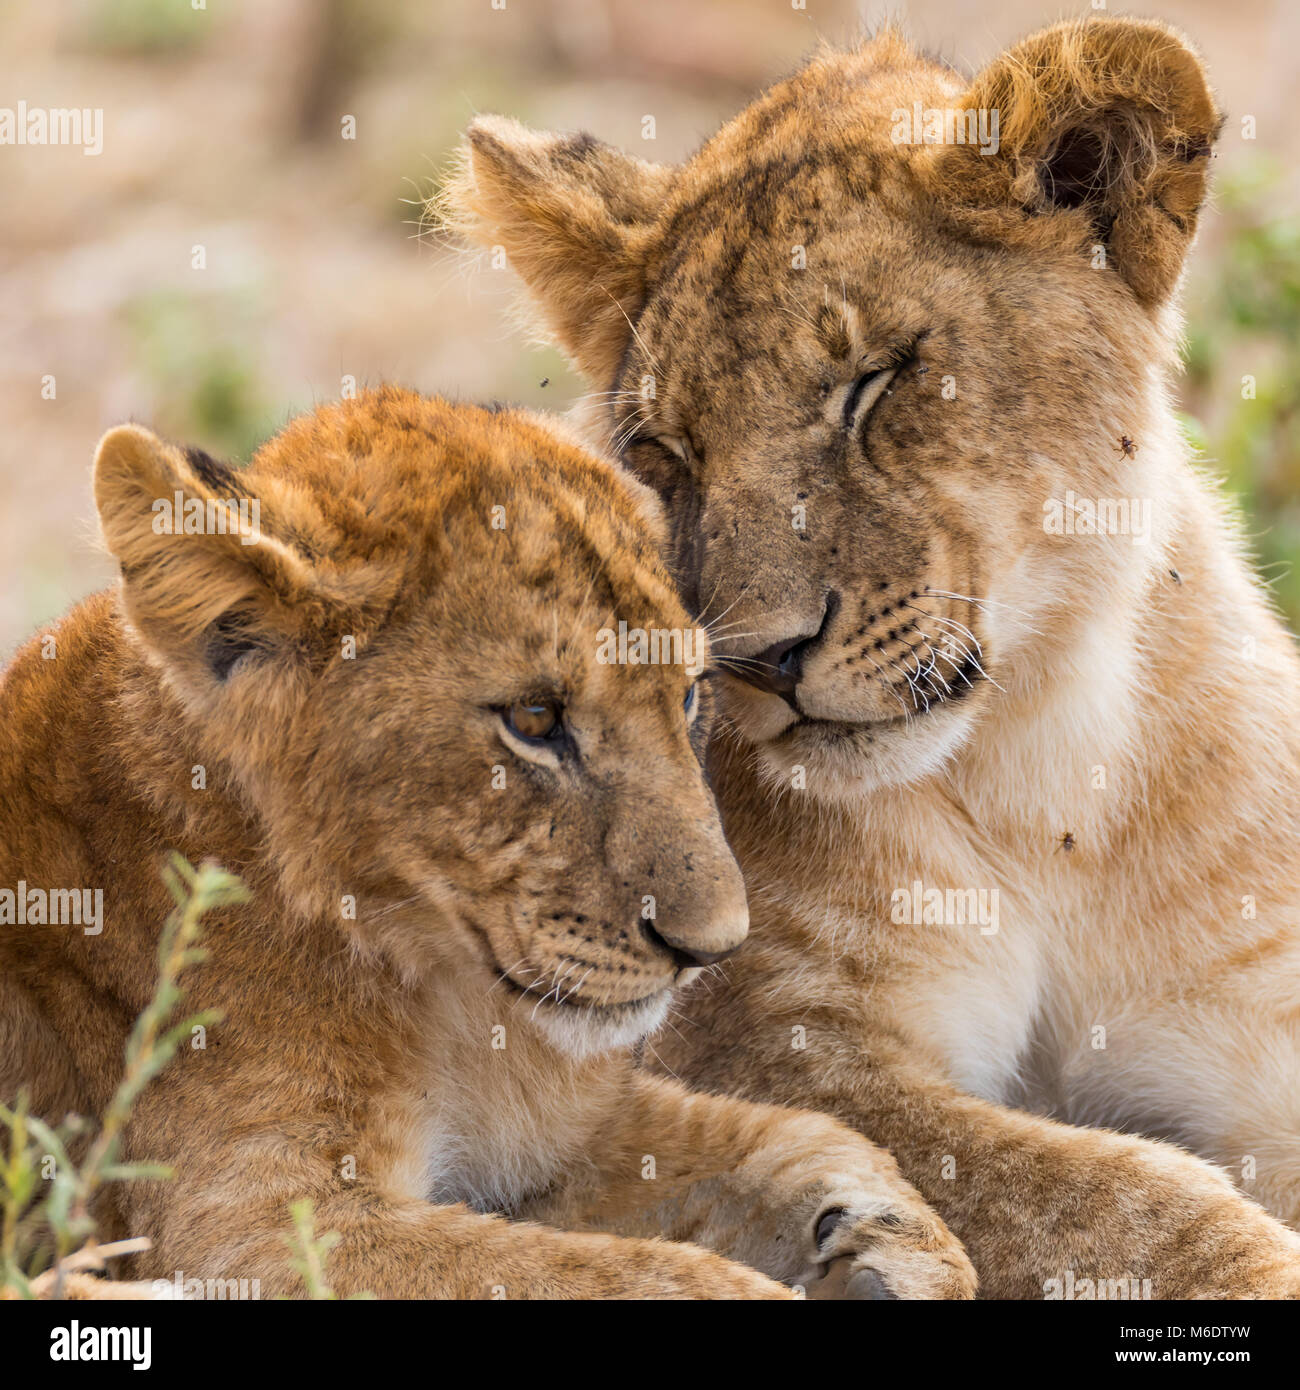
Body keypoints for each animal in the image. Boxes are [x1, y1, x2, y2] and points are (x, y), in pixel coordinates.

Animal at [0, 386, 975, 1299]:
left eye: (691, 694)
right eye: (535, 719)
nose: (714, 949)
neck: (445, 1001)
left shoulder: (555, 1135)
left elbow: (775, 1131)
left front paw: (893, 1237)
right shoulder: (250, 1229)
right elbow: (620, 1275)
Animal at [445, 17, 1300, 1296]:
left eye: (877, 381)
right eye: (664, 452)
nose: (761, 660)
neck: (1042, 769)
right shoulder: (765, 1046)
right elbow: (1121, 1193)